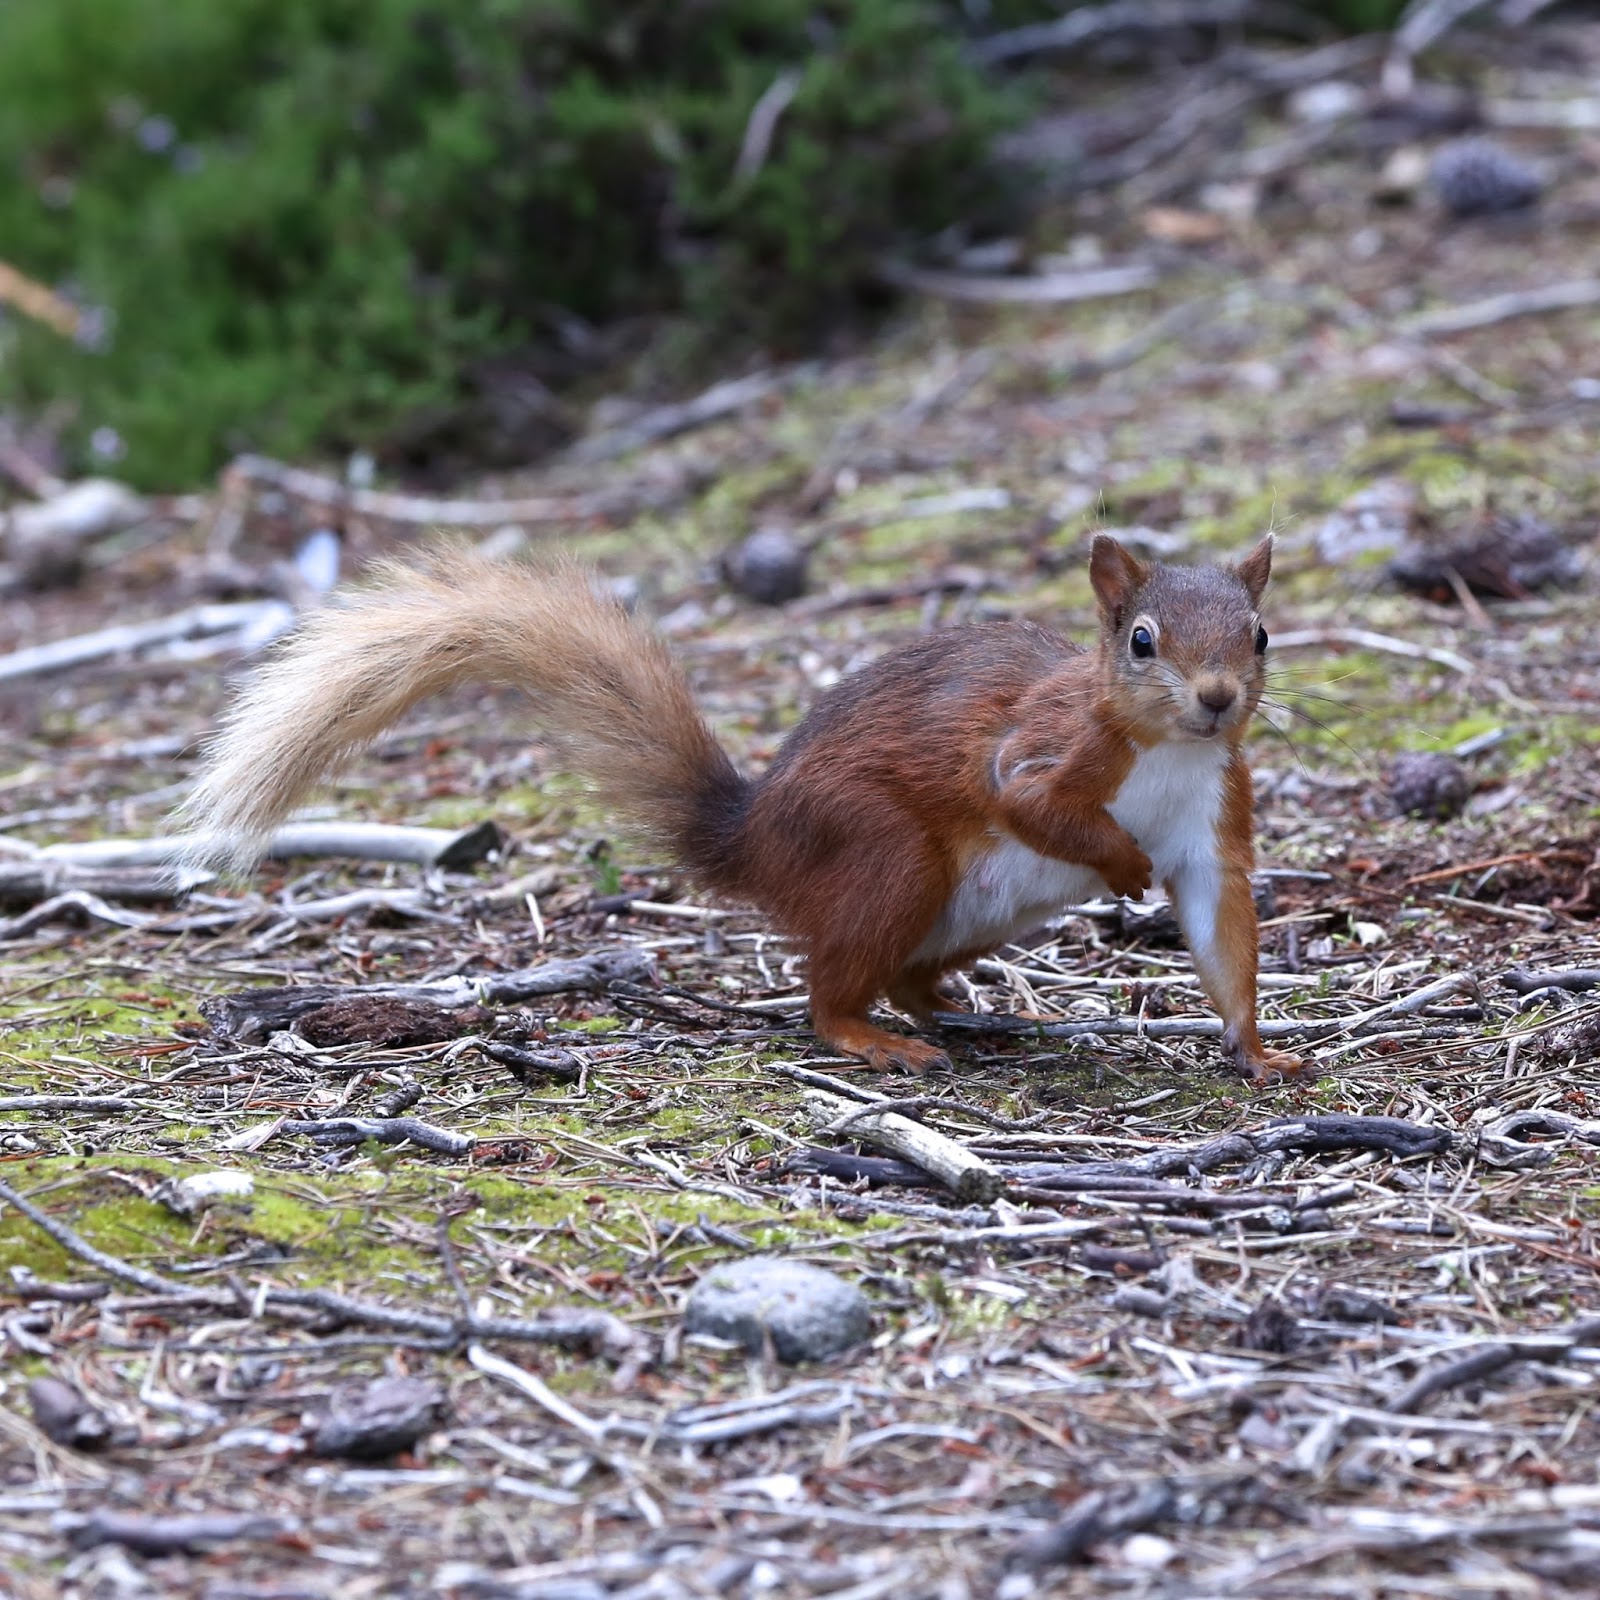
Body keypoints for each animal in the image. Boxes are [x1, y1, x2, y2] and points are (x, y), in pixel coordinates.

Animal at [183, 533, 1307, 1085]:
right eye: (1142, 641)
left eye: (1258, 635)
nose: (1217, 700)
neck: (1167, 754)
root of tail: (755, 840)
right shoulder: (1037, 756)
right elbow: (1033, 803)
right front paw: (1120, 864)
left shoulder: (1212, 823)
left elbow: (1222, 932)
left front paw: (1258, 1053)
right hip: (890, 858)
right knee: (829, 994)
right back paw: (878, 1040)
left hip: (969, 910)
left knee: (902, 975)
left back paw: (969, 1013)